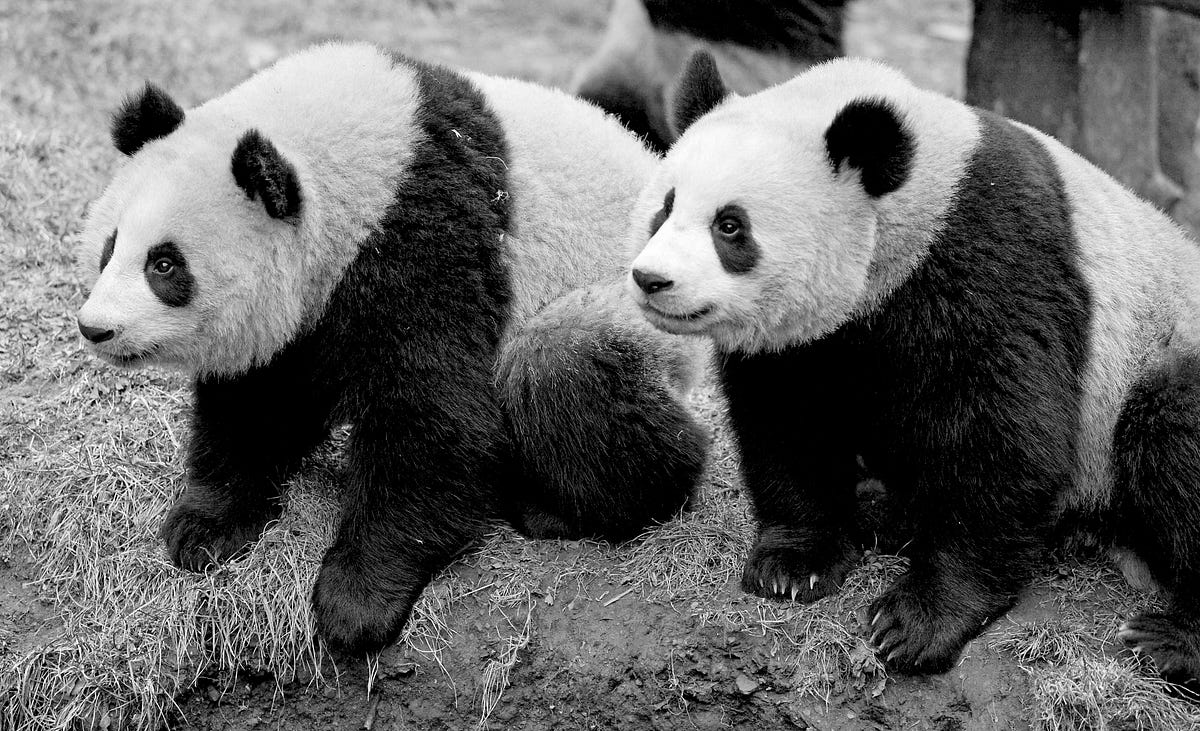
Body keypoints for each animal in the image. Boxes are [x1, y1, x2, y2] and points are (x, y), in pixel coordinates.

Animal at [76, 42, 709, 653]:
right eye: (110, 247)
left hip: (636, 306)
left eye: (164, 265)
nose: (96, 328)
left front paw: (355, 603)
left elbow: (431, 415)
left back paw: (570, 505)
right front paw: (204, 528)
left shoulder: (428, 236)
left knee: (564, 372)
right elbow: (260, 397)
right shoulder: (311, 305)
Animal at [628, 50, 1200, 689]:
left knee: (1170, 429)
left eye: (730, 226)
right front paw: (794, 563)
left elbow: (1004, 435)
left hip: (1157, 352)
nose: (651, 279)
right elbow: (787, 422)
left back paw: (1168, 640)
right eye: (664, 208)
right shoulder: (808, 344)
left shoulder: (994, 255)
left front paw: (915, 621)